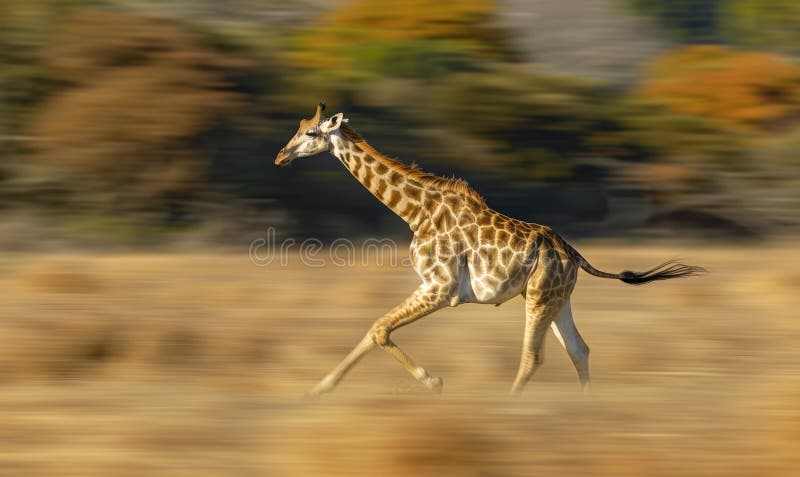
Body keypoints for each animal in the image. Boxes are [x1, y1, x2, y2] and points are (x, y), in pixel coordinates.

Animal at [275, 103, 705, 397]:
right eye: (298, 128)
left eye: (310, 133)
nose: (281, 156)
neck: (415, 211)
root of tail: (574, 255)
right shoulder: (431, 287)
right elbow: (374, 329)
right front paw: (318, 389)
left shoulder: (441, 288)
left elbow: (380, 329)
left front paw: (434, 381)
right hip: (556, 298)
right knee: (579, 350)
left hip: (539, 297)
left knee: (534, 356)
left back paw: (509, 408)